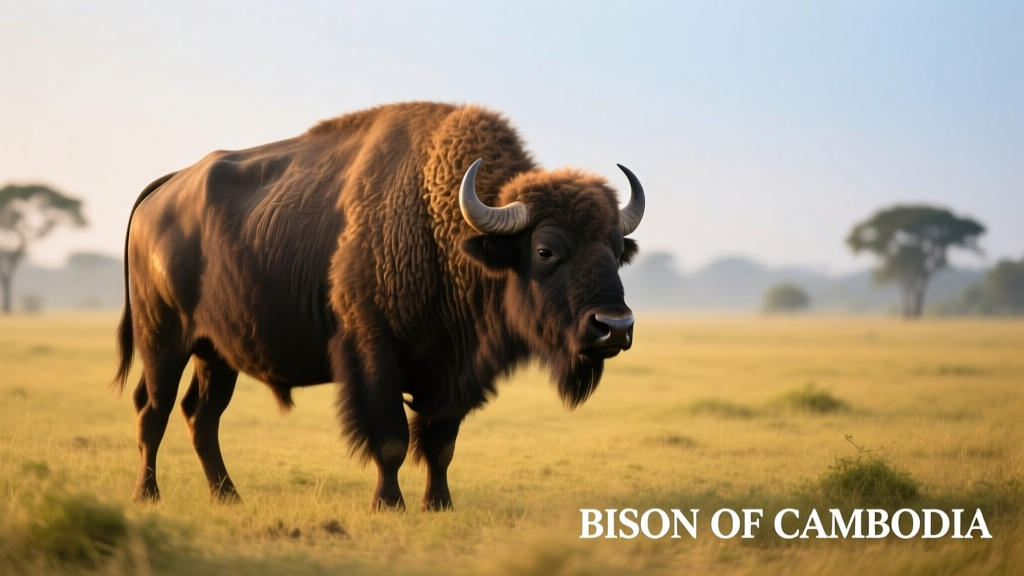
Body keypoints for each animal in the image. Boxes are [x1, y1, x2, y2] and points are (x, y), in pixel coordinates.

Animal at [113, 102, 644, 511]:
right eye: (545, 250)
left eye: (617, 248)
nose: (615, 326)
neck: (444, 227)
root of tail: (163, 192)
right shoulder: (373, 351)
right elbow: (390, 440)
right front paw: (388, 504)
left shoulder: (452, 372)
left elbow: (440, 444)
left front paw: (439, 504)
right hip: (164, 341)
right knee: (153, 410)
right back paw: (147, 496)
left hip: (216, 354)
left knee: (201, 416)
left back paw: (228, 496)